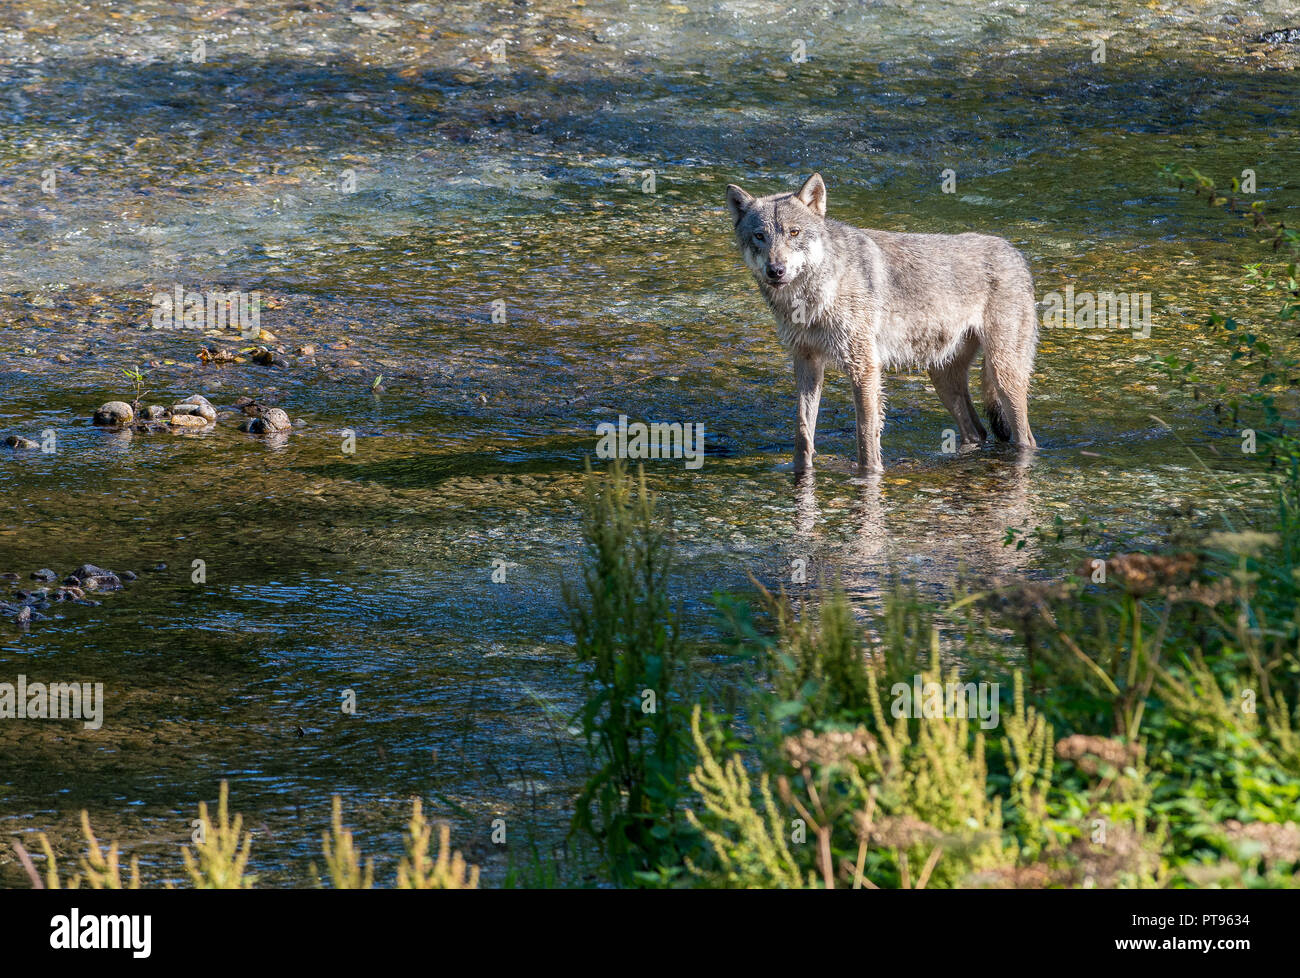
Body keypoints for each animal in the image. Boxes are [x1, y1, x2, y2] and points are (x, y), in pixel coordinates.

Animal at [727, 173, 1038, 474]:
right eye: (759, 236)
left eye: (794, 232)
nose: (776, 270)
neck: (812, 299)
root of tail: (1015, 252)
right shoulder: (806, 362)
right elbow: (803, 433)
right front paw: (800, 470)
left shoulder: (865, 367)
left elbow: (866, 437)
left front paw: (870, 475)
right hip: (942, 378)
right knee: (977, 432)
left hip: (1002, 374)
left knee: (1025, 438)